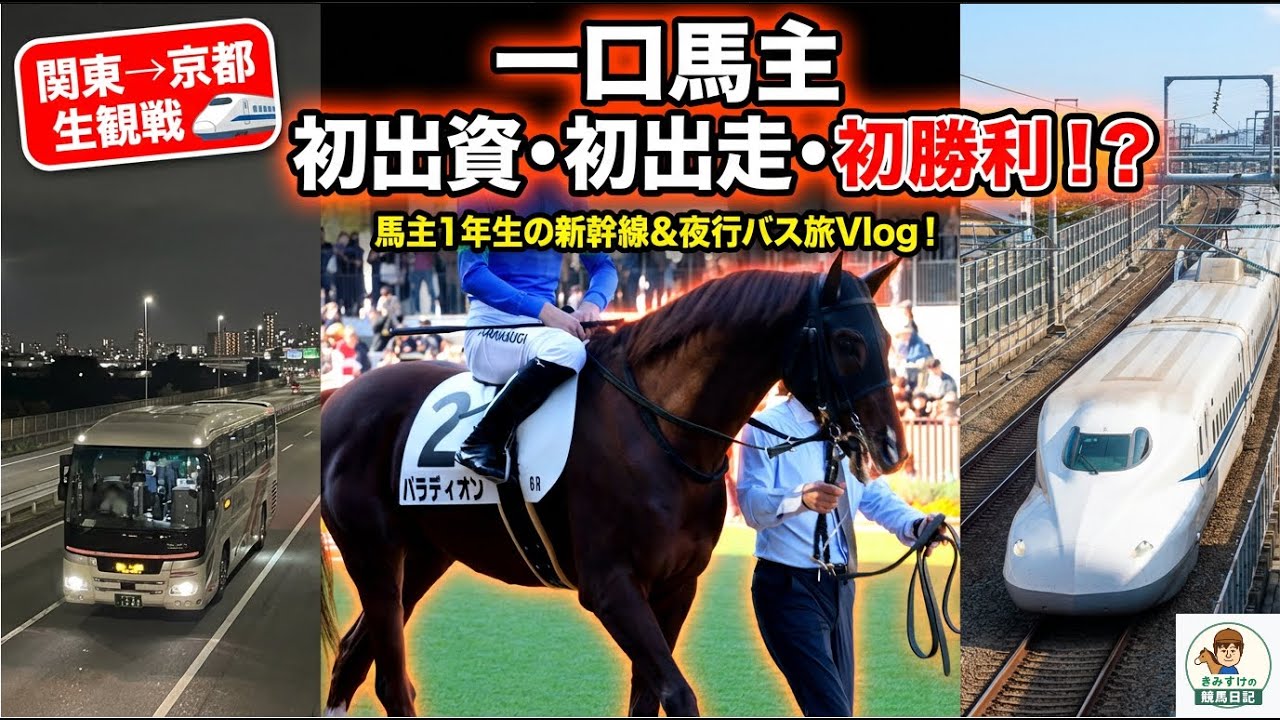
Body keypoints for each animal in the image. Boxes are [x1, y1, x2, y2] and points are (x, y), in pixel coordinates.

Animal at [319, 253, 908, 716]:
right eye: (847, 341)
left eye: (885, 338)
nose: (891, 449)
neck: (661, 430)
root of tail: (338, 397)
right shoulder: (611, 587)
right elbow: (678, 695)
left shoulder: (676, 585)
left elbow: (648, 699)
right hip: (372, 553)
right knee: (390, 682)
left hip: (422, 557)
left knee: (352, 657)